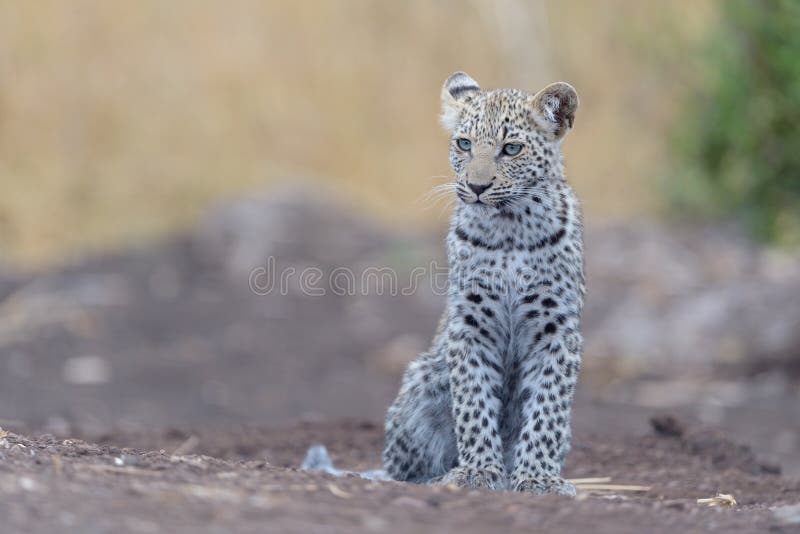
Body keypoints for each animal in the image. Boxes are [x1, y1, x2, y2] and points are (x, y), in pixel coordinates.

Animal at [381, 71, 585, 496]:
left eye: (511, 149)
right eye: (464, 144)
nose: (476, 188)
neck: (509, 227)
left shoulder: (557, 329)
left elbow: (548, 409)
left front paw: (538, 477)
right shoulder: (470, 324)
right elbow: (473, 401)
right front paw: (477, 472)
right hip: (424, 376)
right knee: (398, 468)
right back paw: (439, 477)